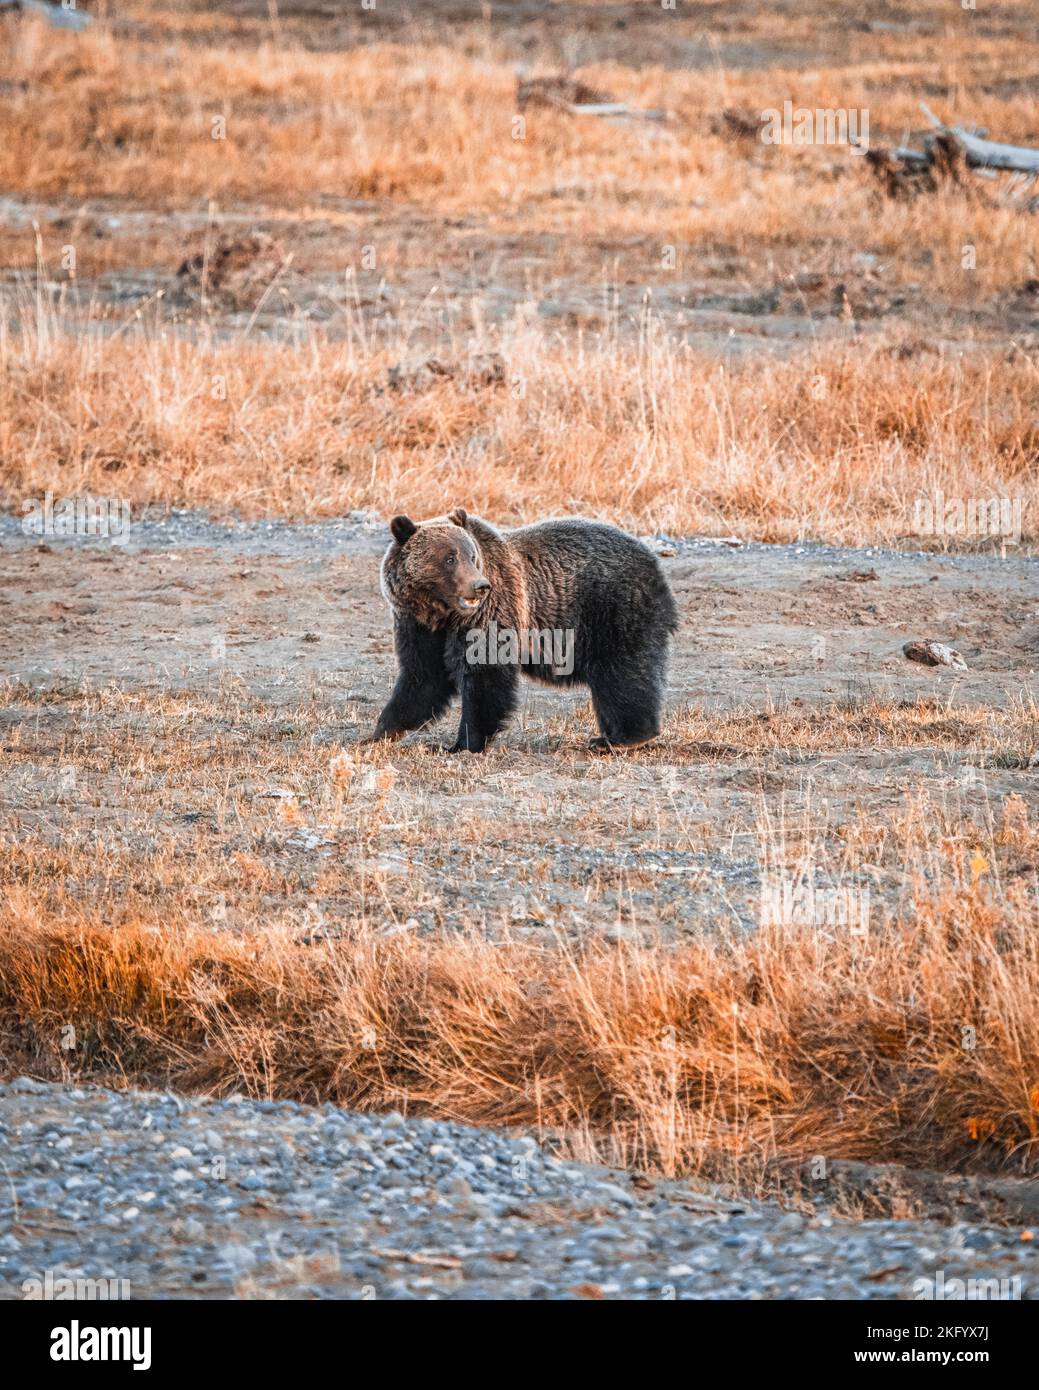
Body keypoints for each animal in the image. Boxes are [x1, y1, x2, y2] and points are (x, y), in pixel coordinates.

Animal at [369, 509, 679, 753]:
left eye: (472, 556)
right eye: (449, 558)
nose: (479, 586)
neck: (442, 612)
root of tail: (654, 564)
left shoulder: (491, 612)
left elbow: (484, 674)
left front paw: (463, 744)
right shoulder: (418, 627)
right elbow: (423, 677)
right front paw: (380, 732)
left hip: (613, 610)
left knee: (623, 674)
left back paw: (622, 738)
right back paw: (610, 735)